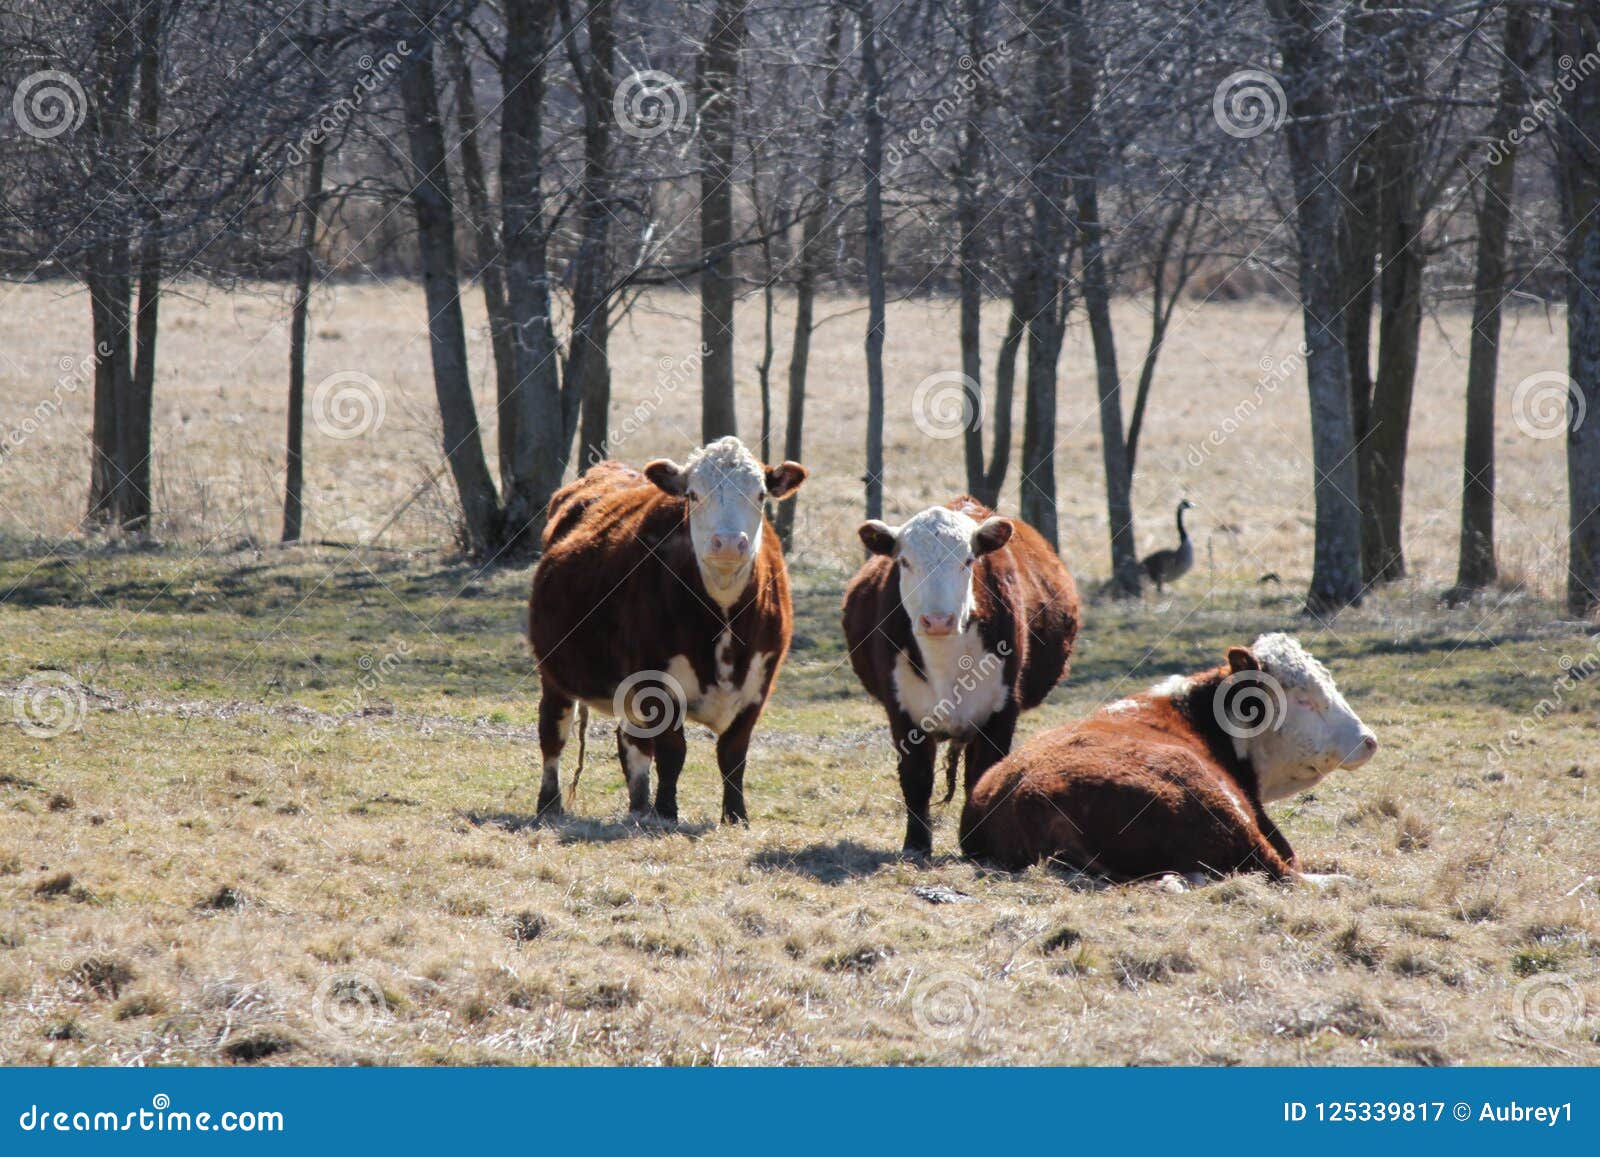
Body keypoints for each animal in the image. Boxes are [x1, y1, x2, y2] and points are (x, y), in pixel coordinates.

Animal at [528, 436, 807, 824]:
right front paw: (666, 813)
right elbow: (673, 753)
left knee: (631, 743)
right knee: (554, 732)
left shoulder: (758, 685)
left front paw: (736, 816)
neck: (723, 618)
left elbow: (733, 755)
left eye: (761, 494)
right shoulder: (657, 685)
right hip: (554, 673)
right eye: (693, 494)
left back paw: (638, 804)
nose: (728, 543)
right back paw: (550, 803)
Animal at [841, 498, 1079, 856]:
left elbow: (982, 775)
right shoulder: (902, 711)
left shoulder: (1002, 710)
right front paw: (916, 845)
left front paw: (976, 843)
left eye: (967, 560)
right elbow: (916, 778)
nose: (938, 620)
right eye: (905, 562)